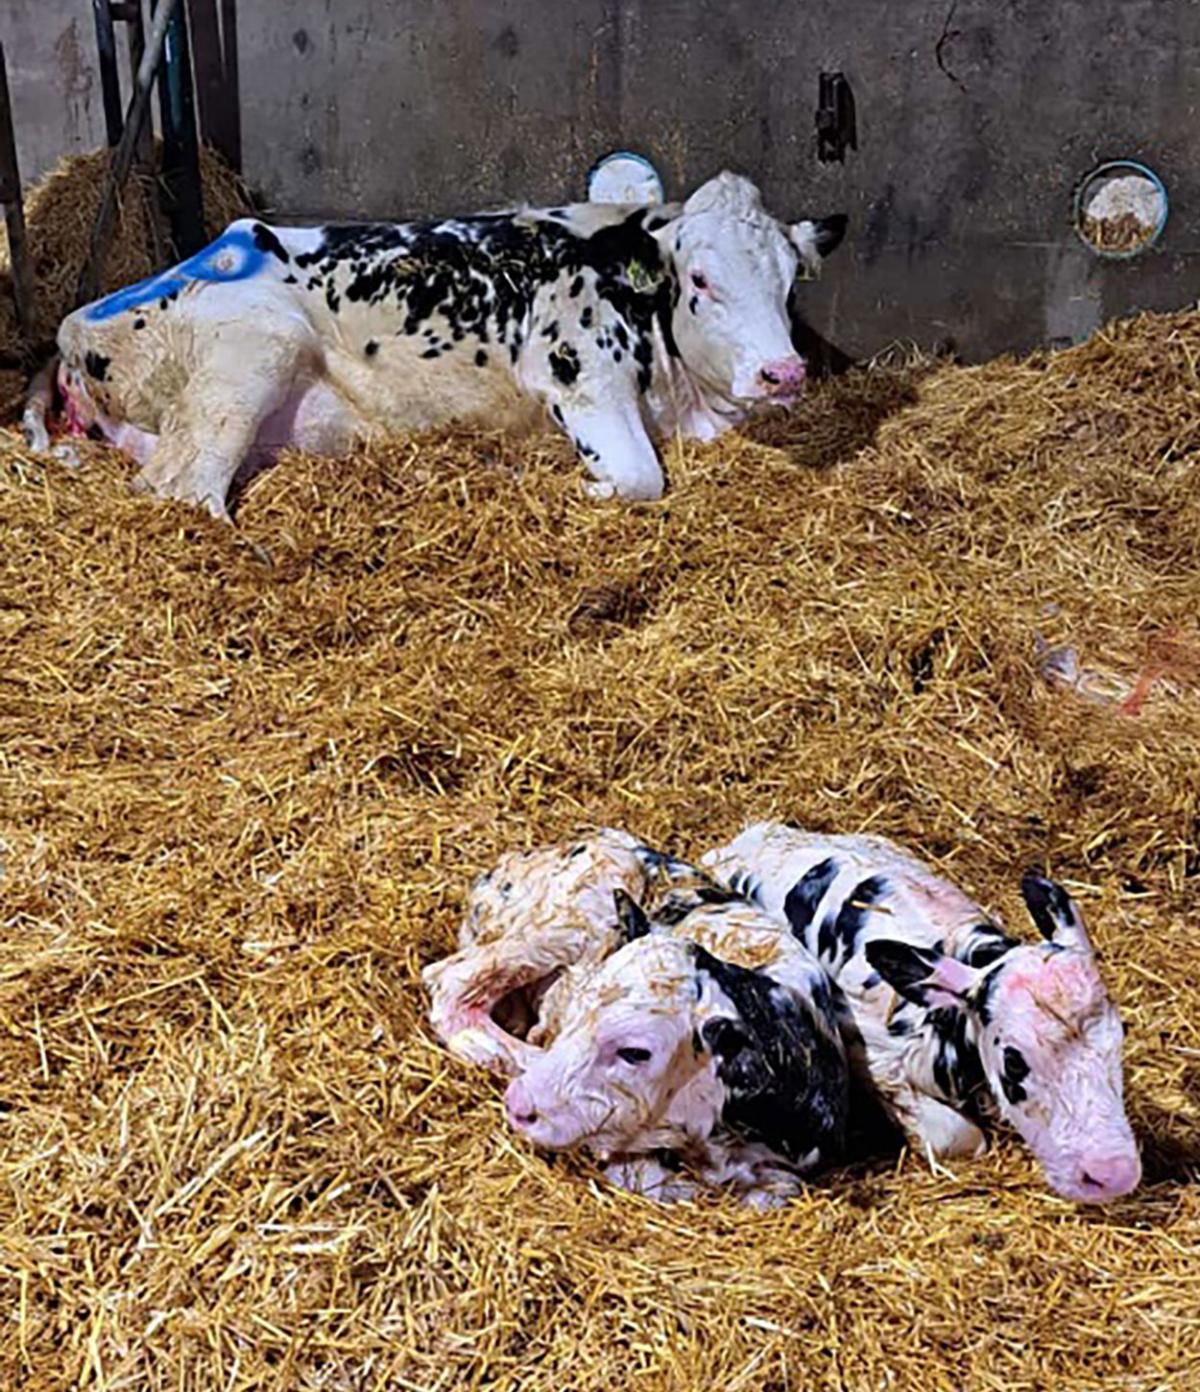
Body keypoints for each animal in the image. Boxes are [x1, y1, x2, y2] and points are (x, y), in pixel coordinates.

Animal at [25, 173, 846, 518]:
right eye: (700, 279)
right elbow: (642, 480)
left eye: (789, 283)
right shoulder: (573, 374)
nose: (782, 373)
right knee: (183, 490)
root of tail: (75, 322)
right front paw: (573, 484)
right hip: (252, 353)